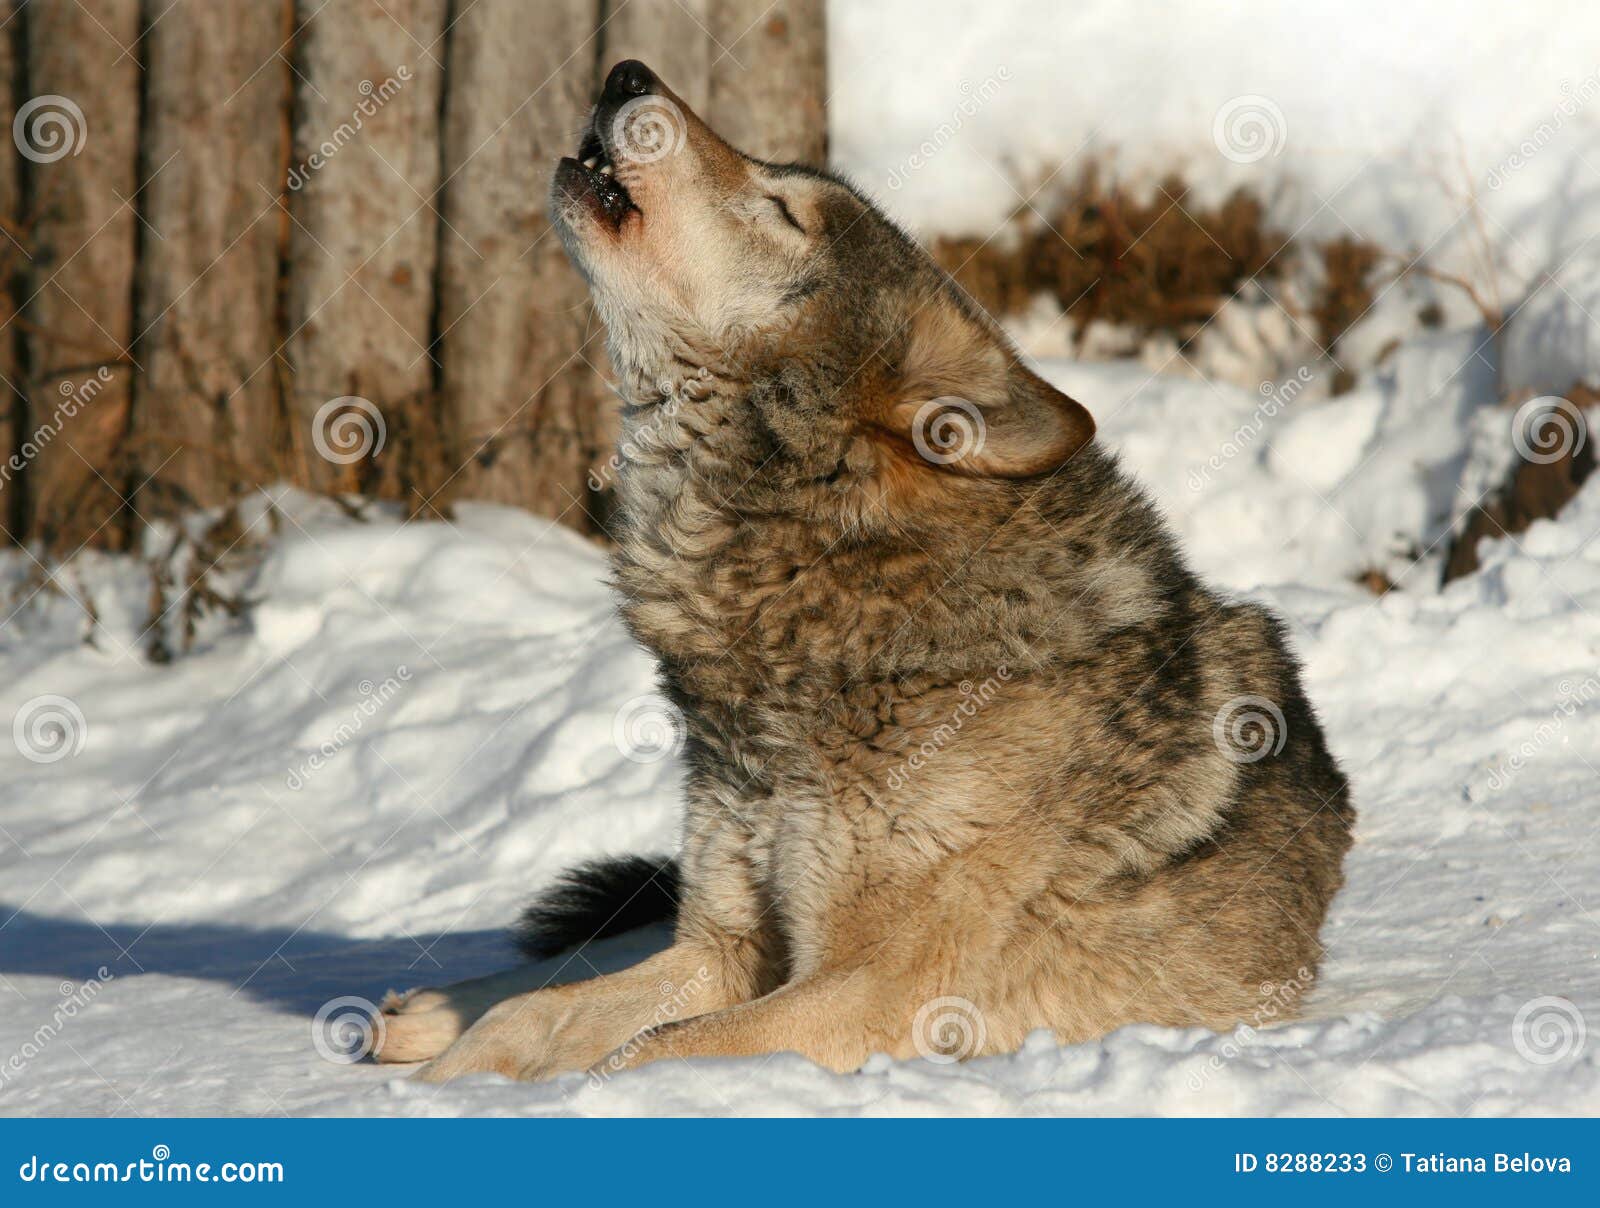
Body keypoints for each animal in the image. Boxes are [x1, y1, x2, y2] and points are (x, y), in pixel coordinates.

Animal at [369, 60, 1354, 1082]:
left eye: (783, 209)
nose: (627, 73)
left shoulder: (874, 993)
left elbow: (640, 1052)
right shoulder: (723, 945)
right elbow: (539, 1018)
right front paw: (453, 1075)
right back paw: (422, 1009)